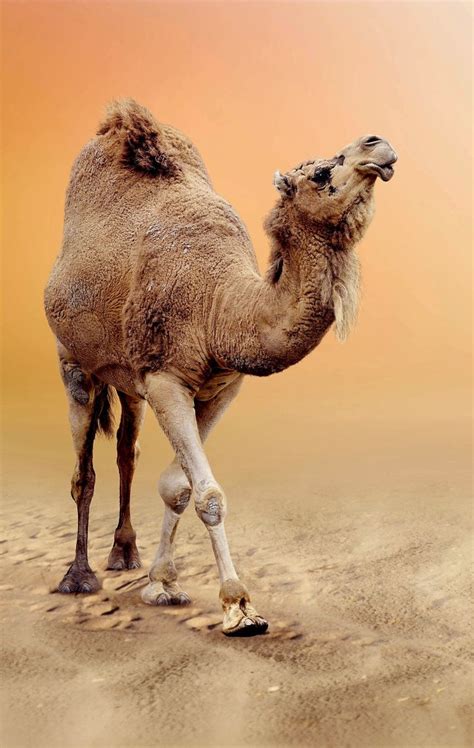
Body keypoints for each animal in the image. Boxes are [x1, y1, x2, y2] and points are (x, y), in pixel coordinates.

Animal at [44, 100, 397, 636]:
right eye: (320, 172)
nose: (378, 144)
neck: (222, 308)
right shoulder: (166, 378)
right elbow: (207, 493)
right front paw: (239, 606)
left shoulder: (220, 387)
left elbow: (177, 488)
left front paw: (162, 583)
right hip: (73, 359)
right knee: (83, 470)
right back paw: (79, 576)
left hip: (126, 375)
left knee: (127, 449)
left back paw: (124, 555)